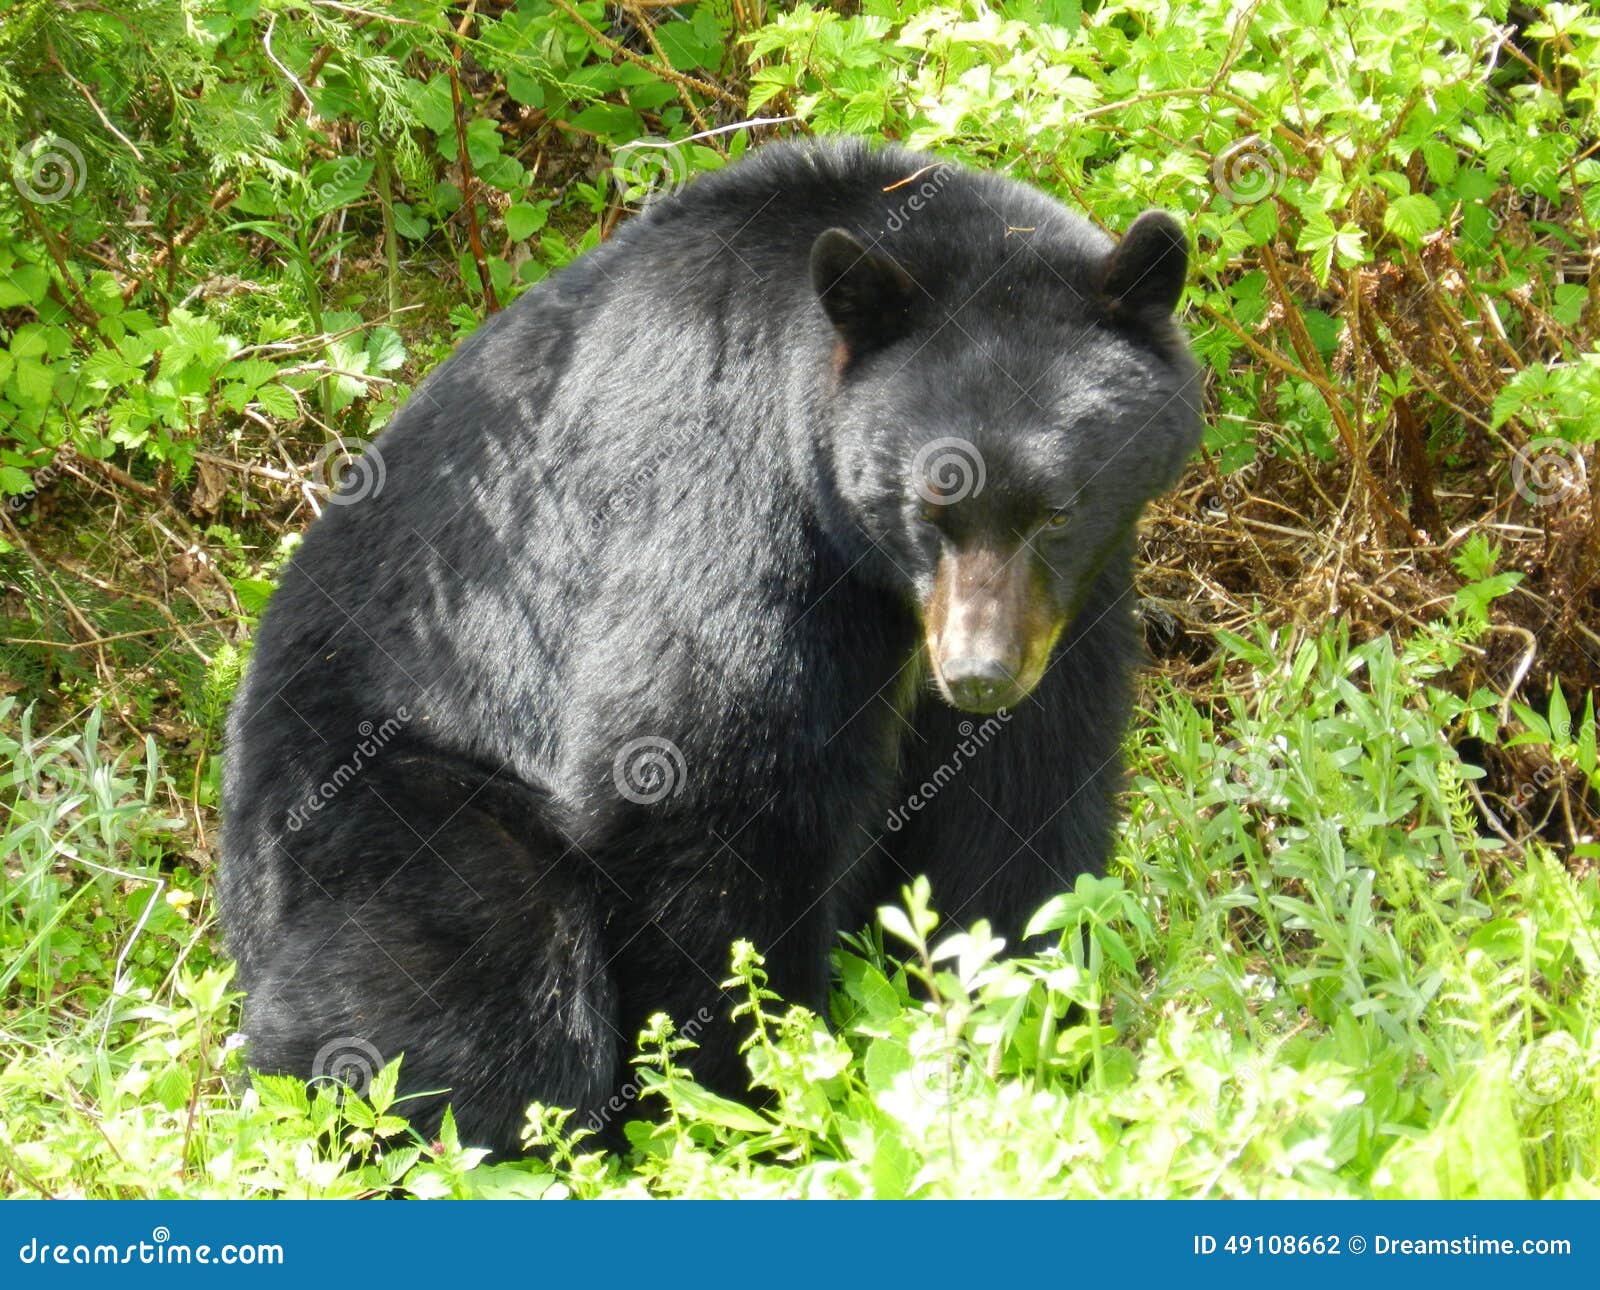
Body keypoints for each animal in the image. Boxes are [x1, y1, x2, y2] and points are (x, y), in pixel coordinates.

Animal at [219, 137, 1203, 1156]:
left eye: (1056, 511)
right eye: (930, 504)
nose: (977, 674)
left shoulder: (1071, 604)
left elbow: (1024, 792)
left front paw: (1021, 1032)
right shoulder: (731, 490)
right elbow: (699, 779)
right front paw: (750, 1095)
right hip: (374, 805)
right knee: (474, 953)